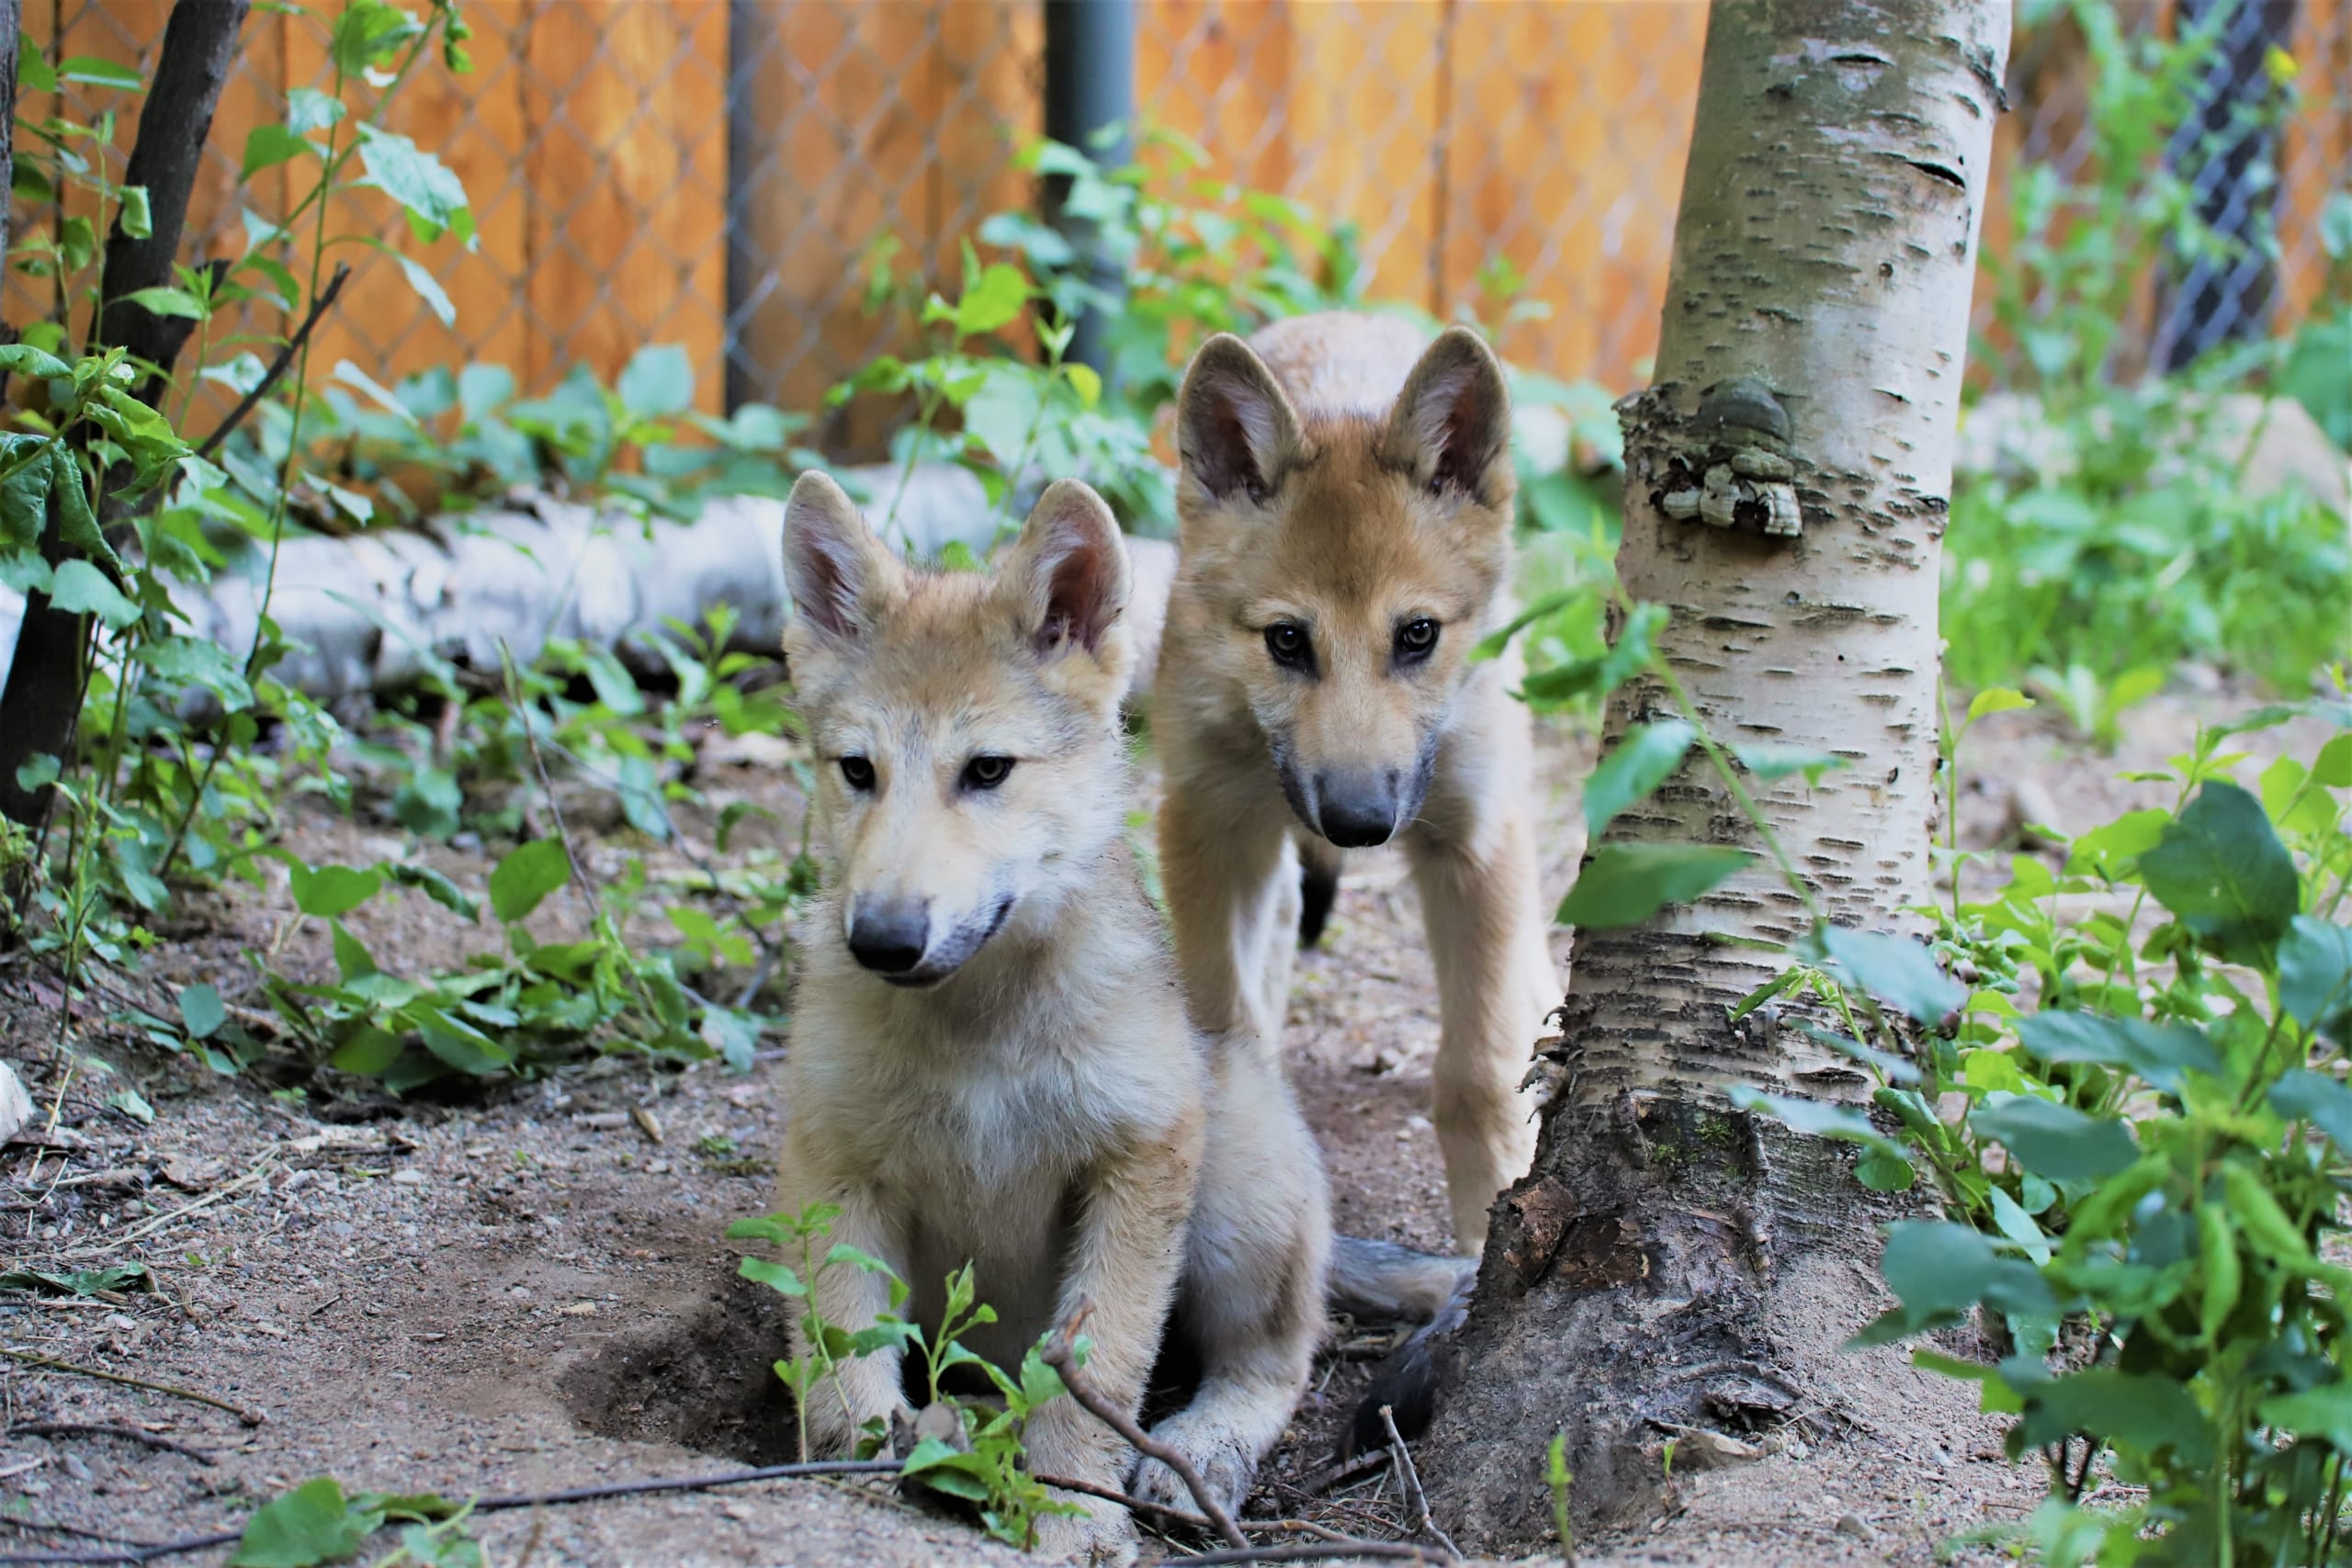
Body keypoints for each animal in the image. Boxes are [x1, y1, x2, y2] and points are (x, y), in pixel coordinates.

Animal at [768, 471, 1460, 1561]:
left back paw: (1199, 1456)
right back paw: (958, 1422)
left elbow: (1098, 1364)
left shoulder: (1138, 1161)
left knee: (1275, 1363)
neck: (982, 1028)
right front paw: (859, 1470)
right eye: (856, 771)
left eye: (988, 771)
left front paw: (1072, 1512)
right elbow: (844, 1357)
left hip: (1235, 1188)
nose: (880, 940)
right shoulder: (834, 1166)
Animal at [1155, 311, 1560, 1249]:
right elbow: (1223, 1028)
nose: (1358, 821)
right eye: (1286, 640)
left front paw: (1489, 1230)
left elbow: (1477, 1070)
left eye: (1417, 634)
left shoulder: (1472, 844)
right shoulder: (1206, 830)